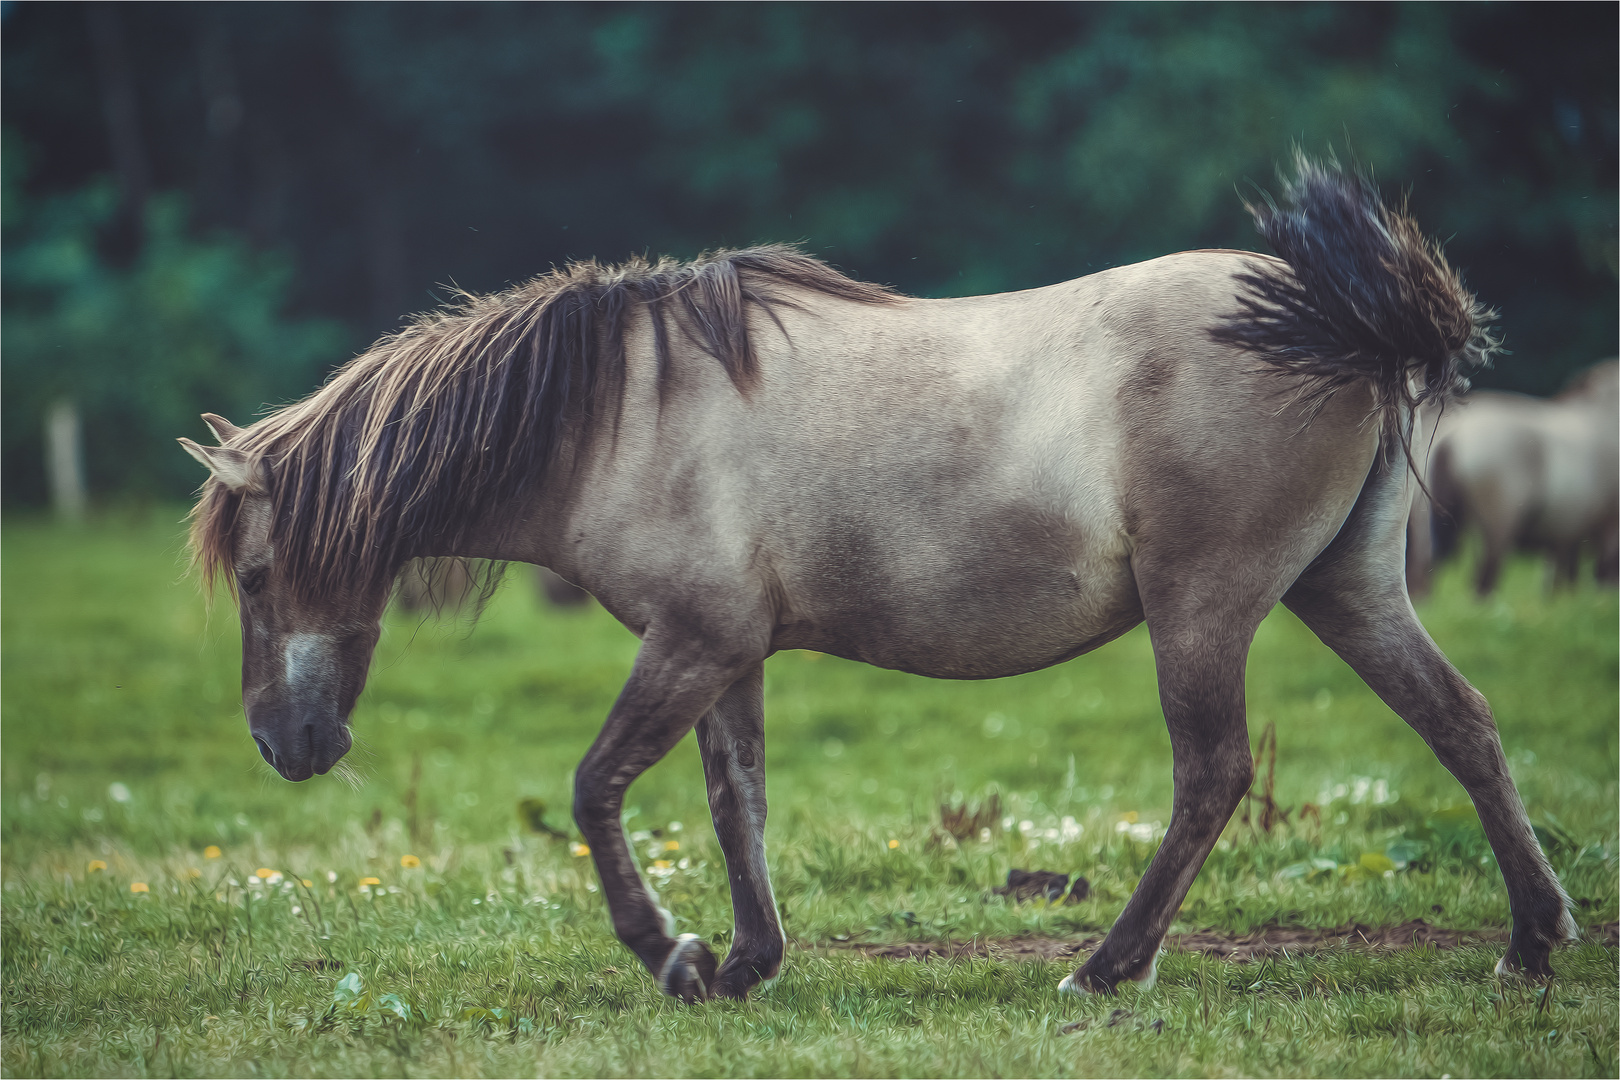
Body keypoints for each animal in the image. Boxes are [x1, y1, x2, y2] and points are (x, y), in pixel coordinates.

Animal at [180, 161, 1574, 1001]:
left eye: (256, 575)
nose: (284, 744)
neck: (620, 412)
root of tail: (1348, 323)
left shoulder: (689, 643)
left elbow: (595, 787)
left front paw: (670, 952)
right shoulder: (729, 655)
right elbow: (735, 801)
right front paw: (745, 961)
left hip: (1206, 607)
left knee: (1213, 775)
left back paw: (1106, 968)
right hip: (1345, 590)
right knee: (1463, 725)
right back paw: (1531, 940)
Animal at [1407, 360, 1619, 596]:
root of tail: (1454, 431)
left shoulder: (1568, 533)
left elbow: (1562, 575)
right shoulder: (1605, 526)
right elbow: (1600, 572)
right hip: (1496, 525)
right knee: (1483, 580)